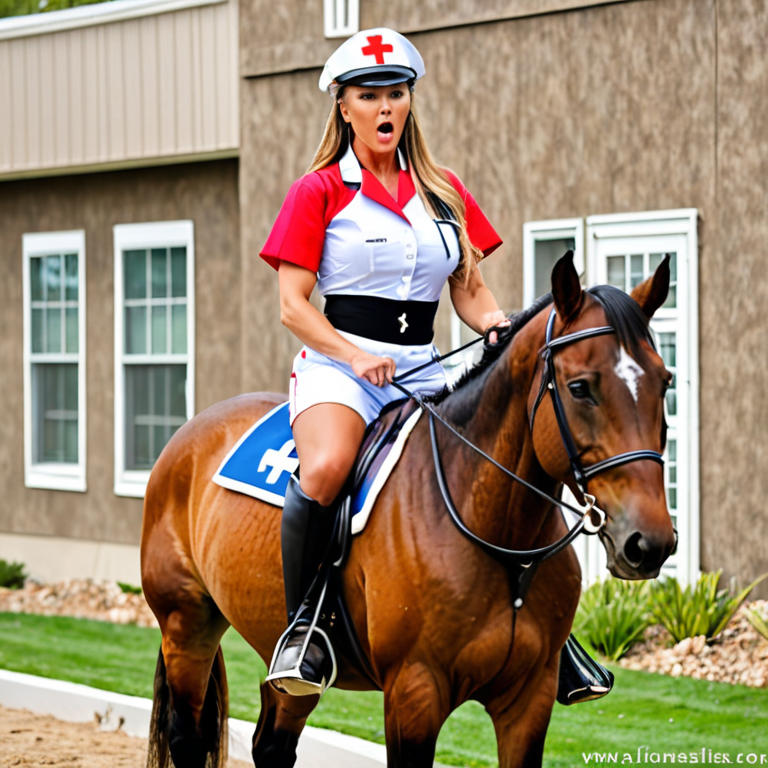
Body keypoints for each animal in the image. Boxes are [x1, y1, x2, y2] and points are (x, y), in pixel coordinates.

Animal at [141, 252, 677, 768]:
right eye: (580, 387)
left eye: (665, 381)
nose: (649, 543)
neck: (499, 538)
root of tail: (192, 431)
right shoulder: (414, 692)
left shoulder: (530, 697)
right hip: (187, 625)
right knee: (188, 737)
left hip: (284, 671)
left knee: (272, 743)